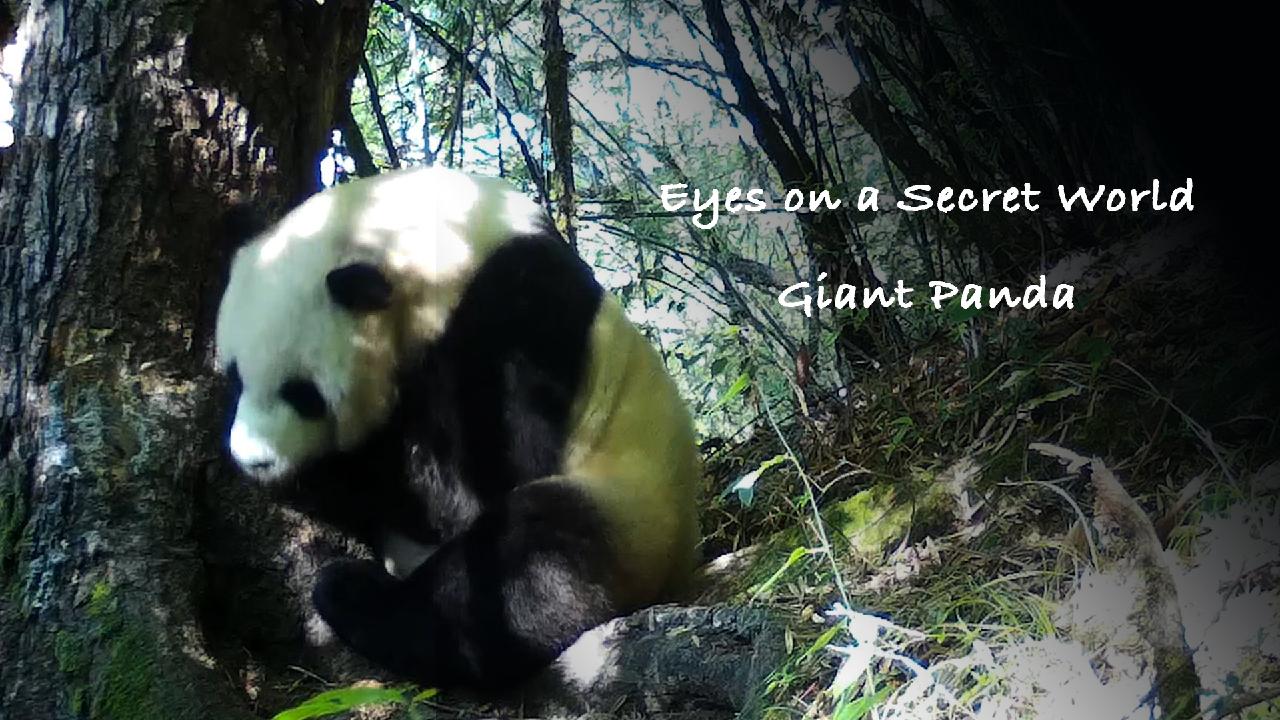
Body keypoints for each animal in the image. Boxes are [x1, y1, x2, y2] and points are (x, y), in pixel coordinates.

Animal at [214, 166, 701, 689]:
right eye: (235, 375)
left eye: (302, 393)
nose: (254, 460)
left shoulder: (515, 318)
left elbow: (471, 485)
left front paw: (333, 473)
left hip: (628, 508)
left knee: (525, 561)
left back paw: (355, 596)